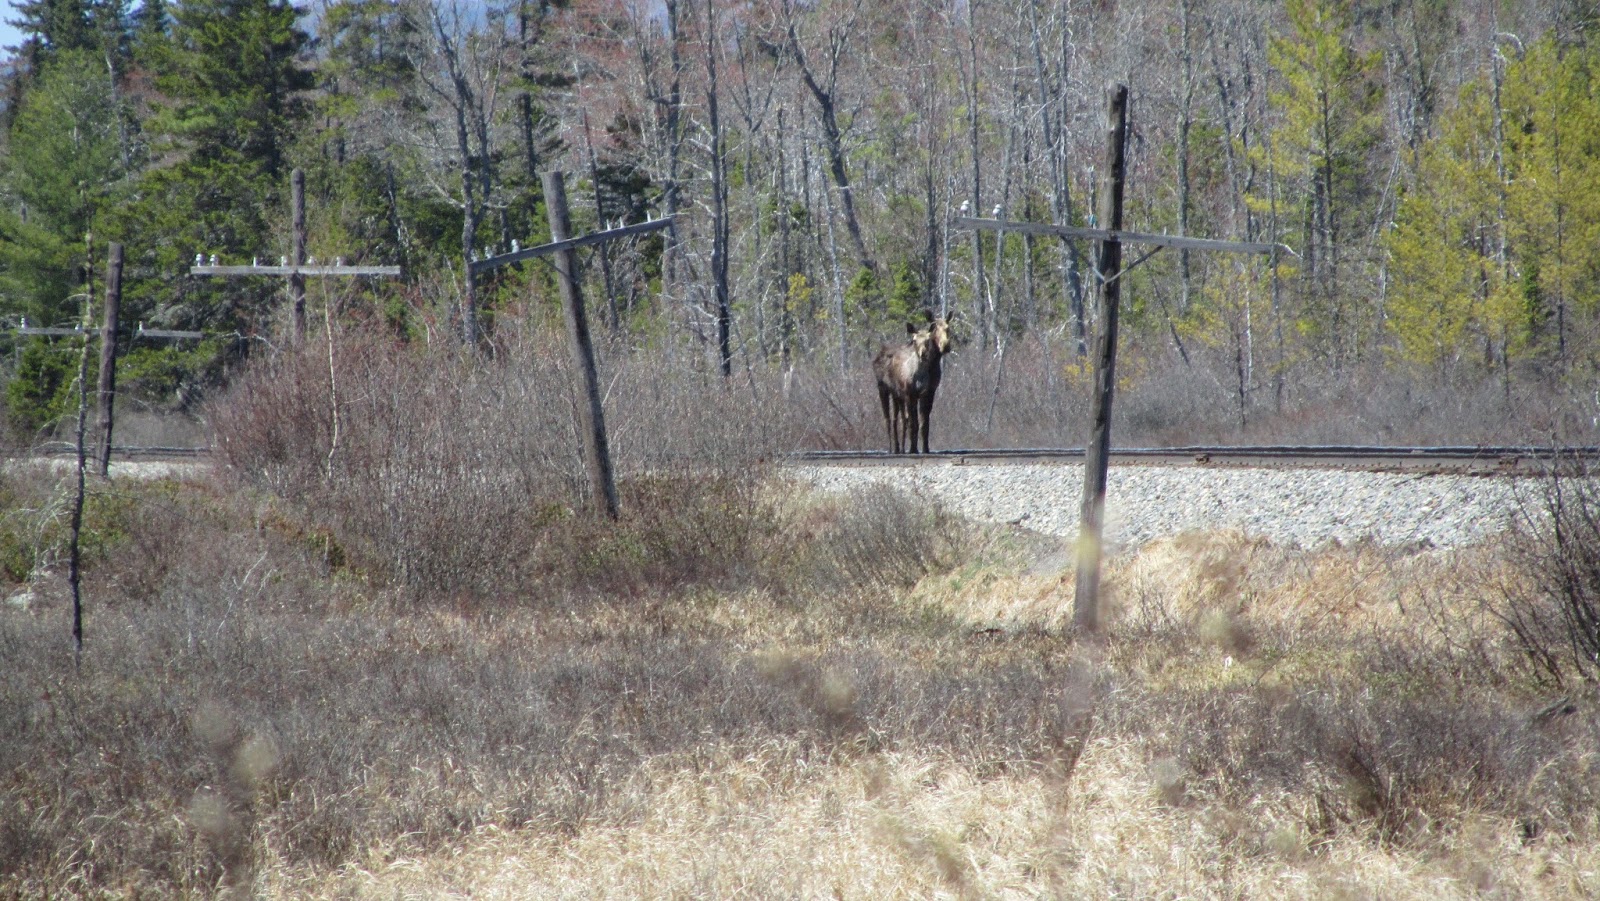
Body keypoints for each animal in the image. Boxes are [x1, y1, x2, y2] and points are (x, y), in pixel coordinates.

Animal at [872, 315, 951, 454]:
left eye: (928, 340)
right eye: (914, 340)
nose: (923, 353)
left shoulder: (924, 393)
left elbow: (923, 422)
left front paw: (924, 448)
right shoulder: (910, 394)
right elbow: (913, 423)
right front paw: (913, 448)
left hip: (897, 395)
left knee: (898, 418)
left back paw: (899, 448)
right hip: (883, 388)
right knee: (888, 418)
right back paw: (892, 448)